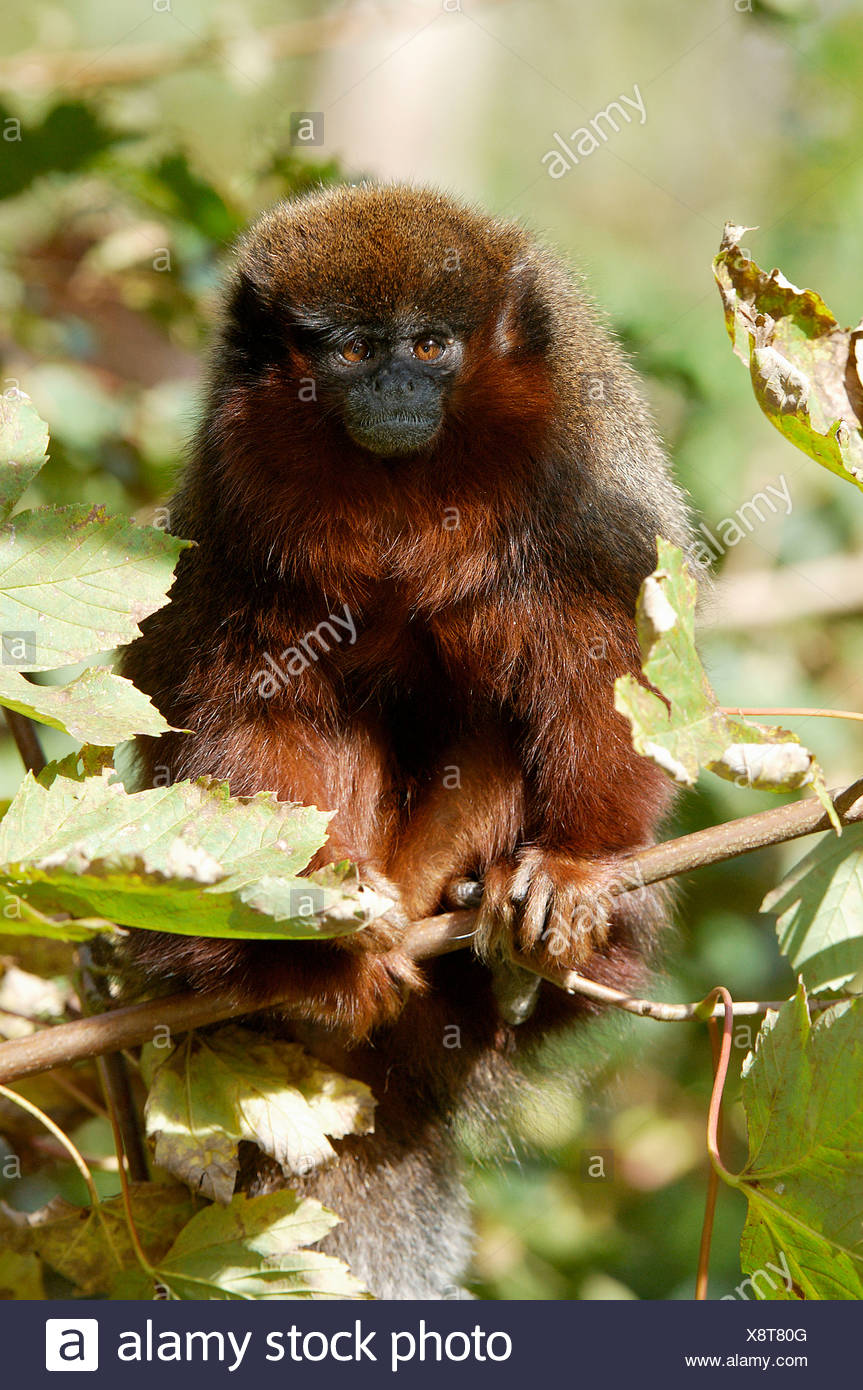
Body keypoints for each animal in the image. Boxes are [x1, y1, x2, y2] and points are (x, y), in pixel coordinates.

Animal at [120, 183, 691, 1299]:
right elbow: (244, 706)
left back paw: (497, 940)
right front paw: (322, 919)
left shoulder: (576, 483)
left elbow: (605, 661)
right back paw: (336, 958)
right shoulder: (235, 498)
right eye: (349, 352)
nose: (392, 387)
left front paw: (574, 867)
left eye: (429, 345)